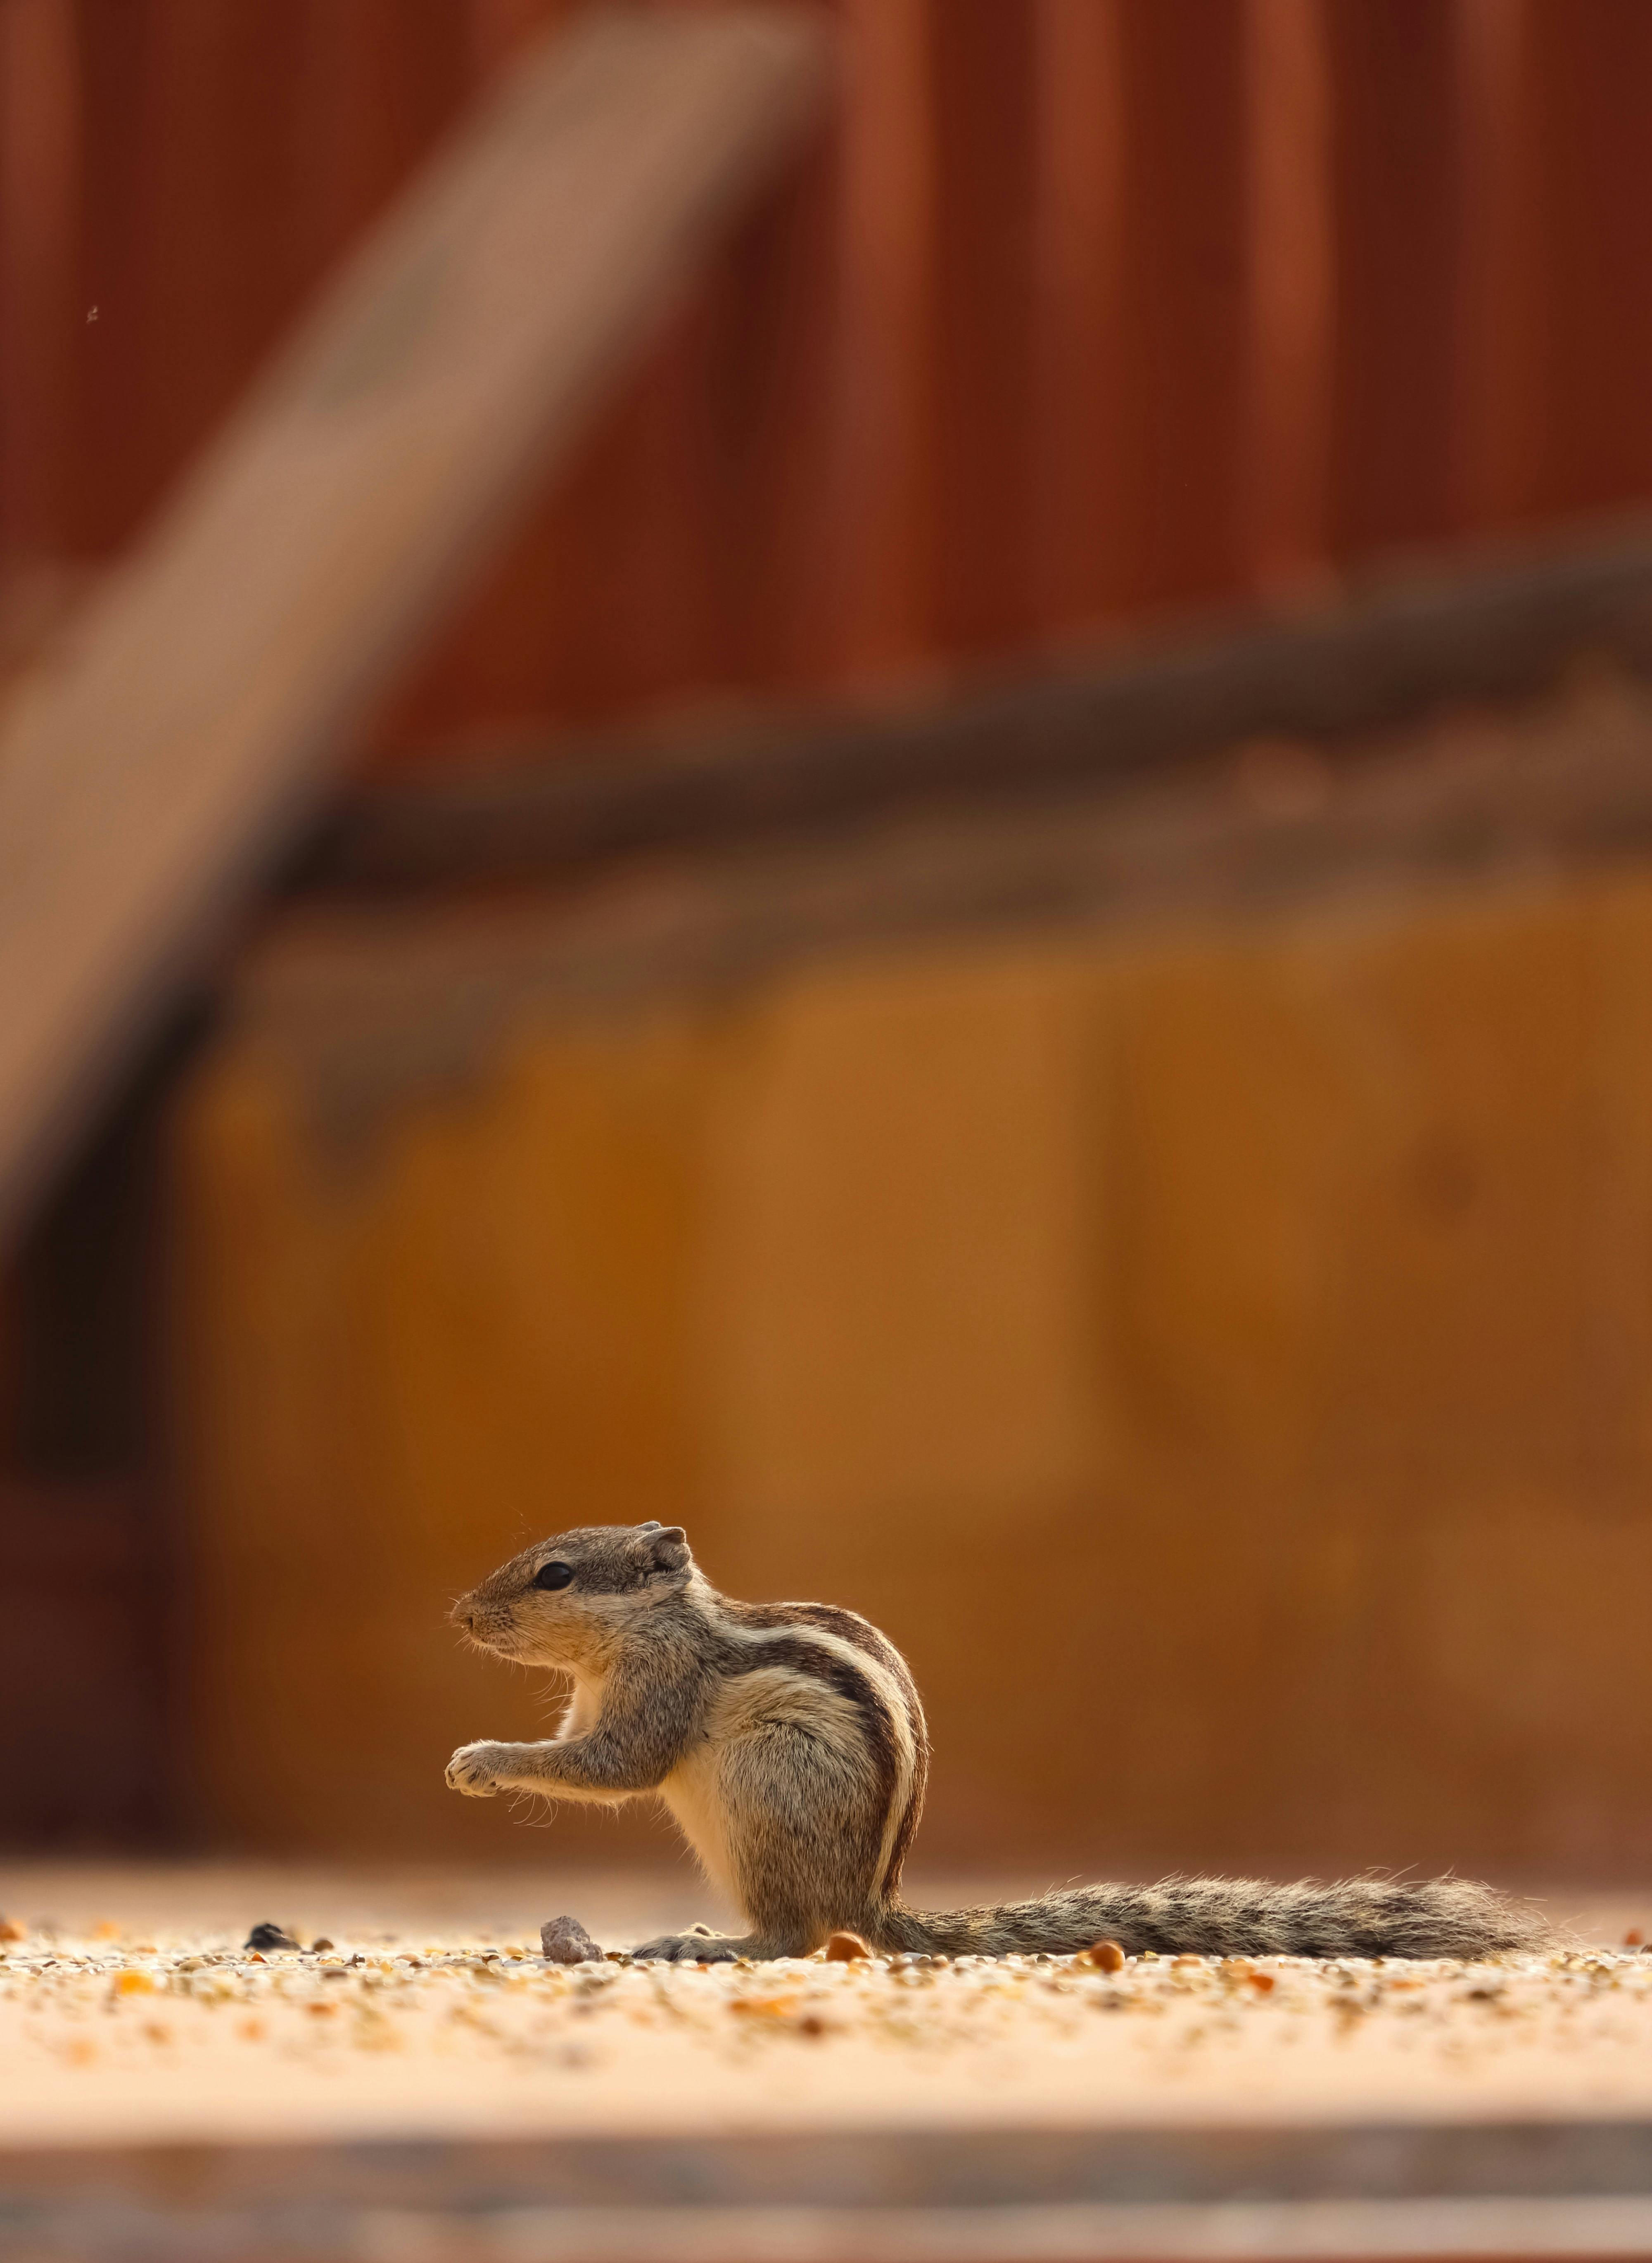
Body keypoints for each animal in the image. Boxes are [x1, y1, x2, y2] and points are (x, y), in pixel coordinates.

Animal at [445, 1522, 1546, 1963]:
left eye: (554, 1574)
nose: (459, 1612)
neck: (648, 1626)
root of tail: (874, 1905)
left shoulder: (656, 1693)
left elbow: (611, 1767)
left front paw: (481, 1760)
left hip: (767, 1804)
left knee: (796, 1934)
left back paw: (705, 1941)